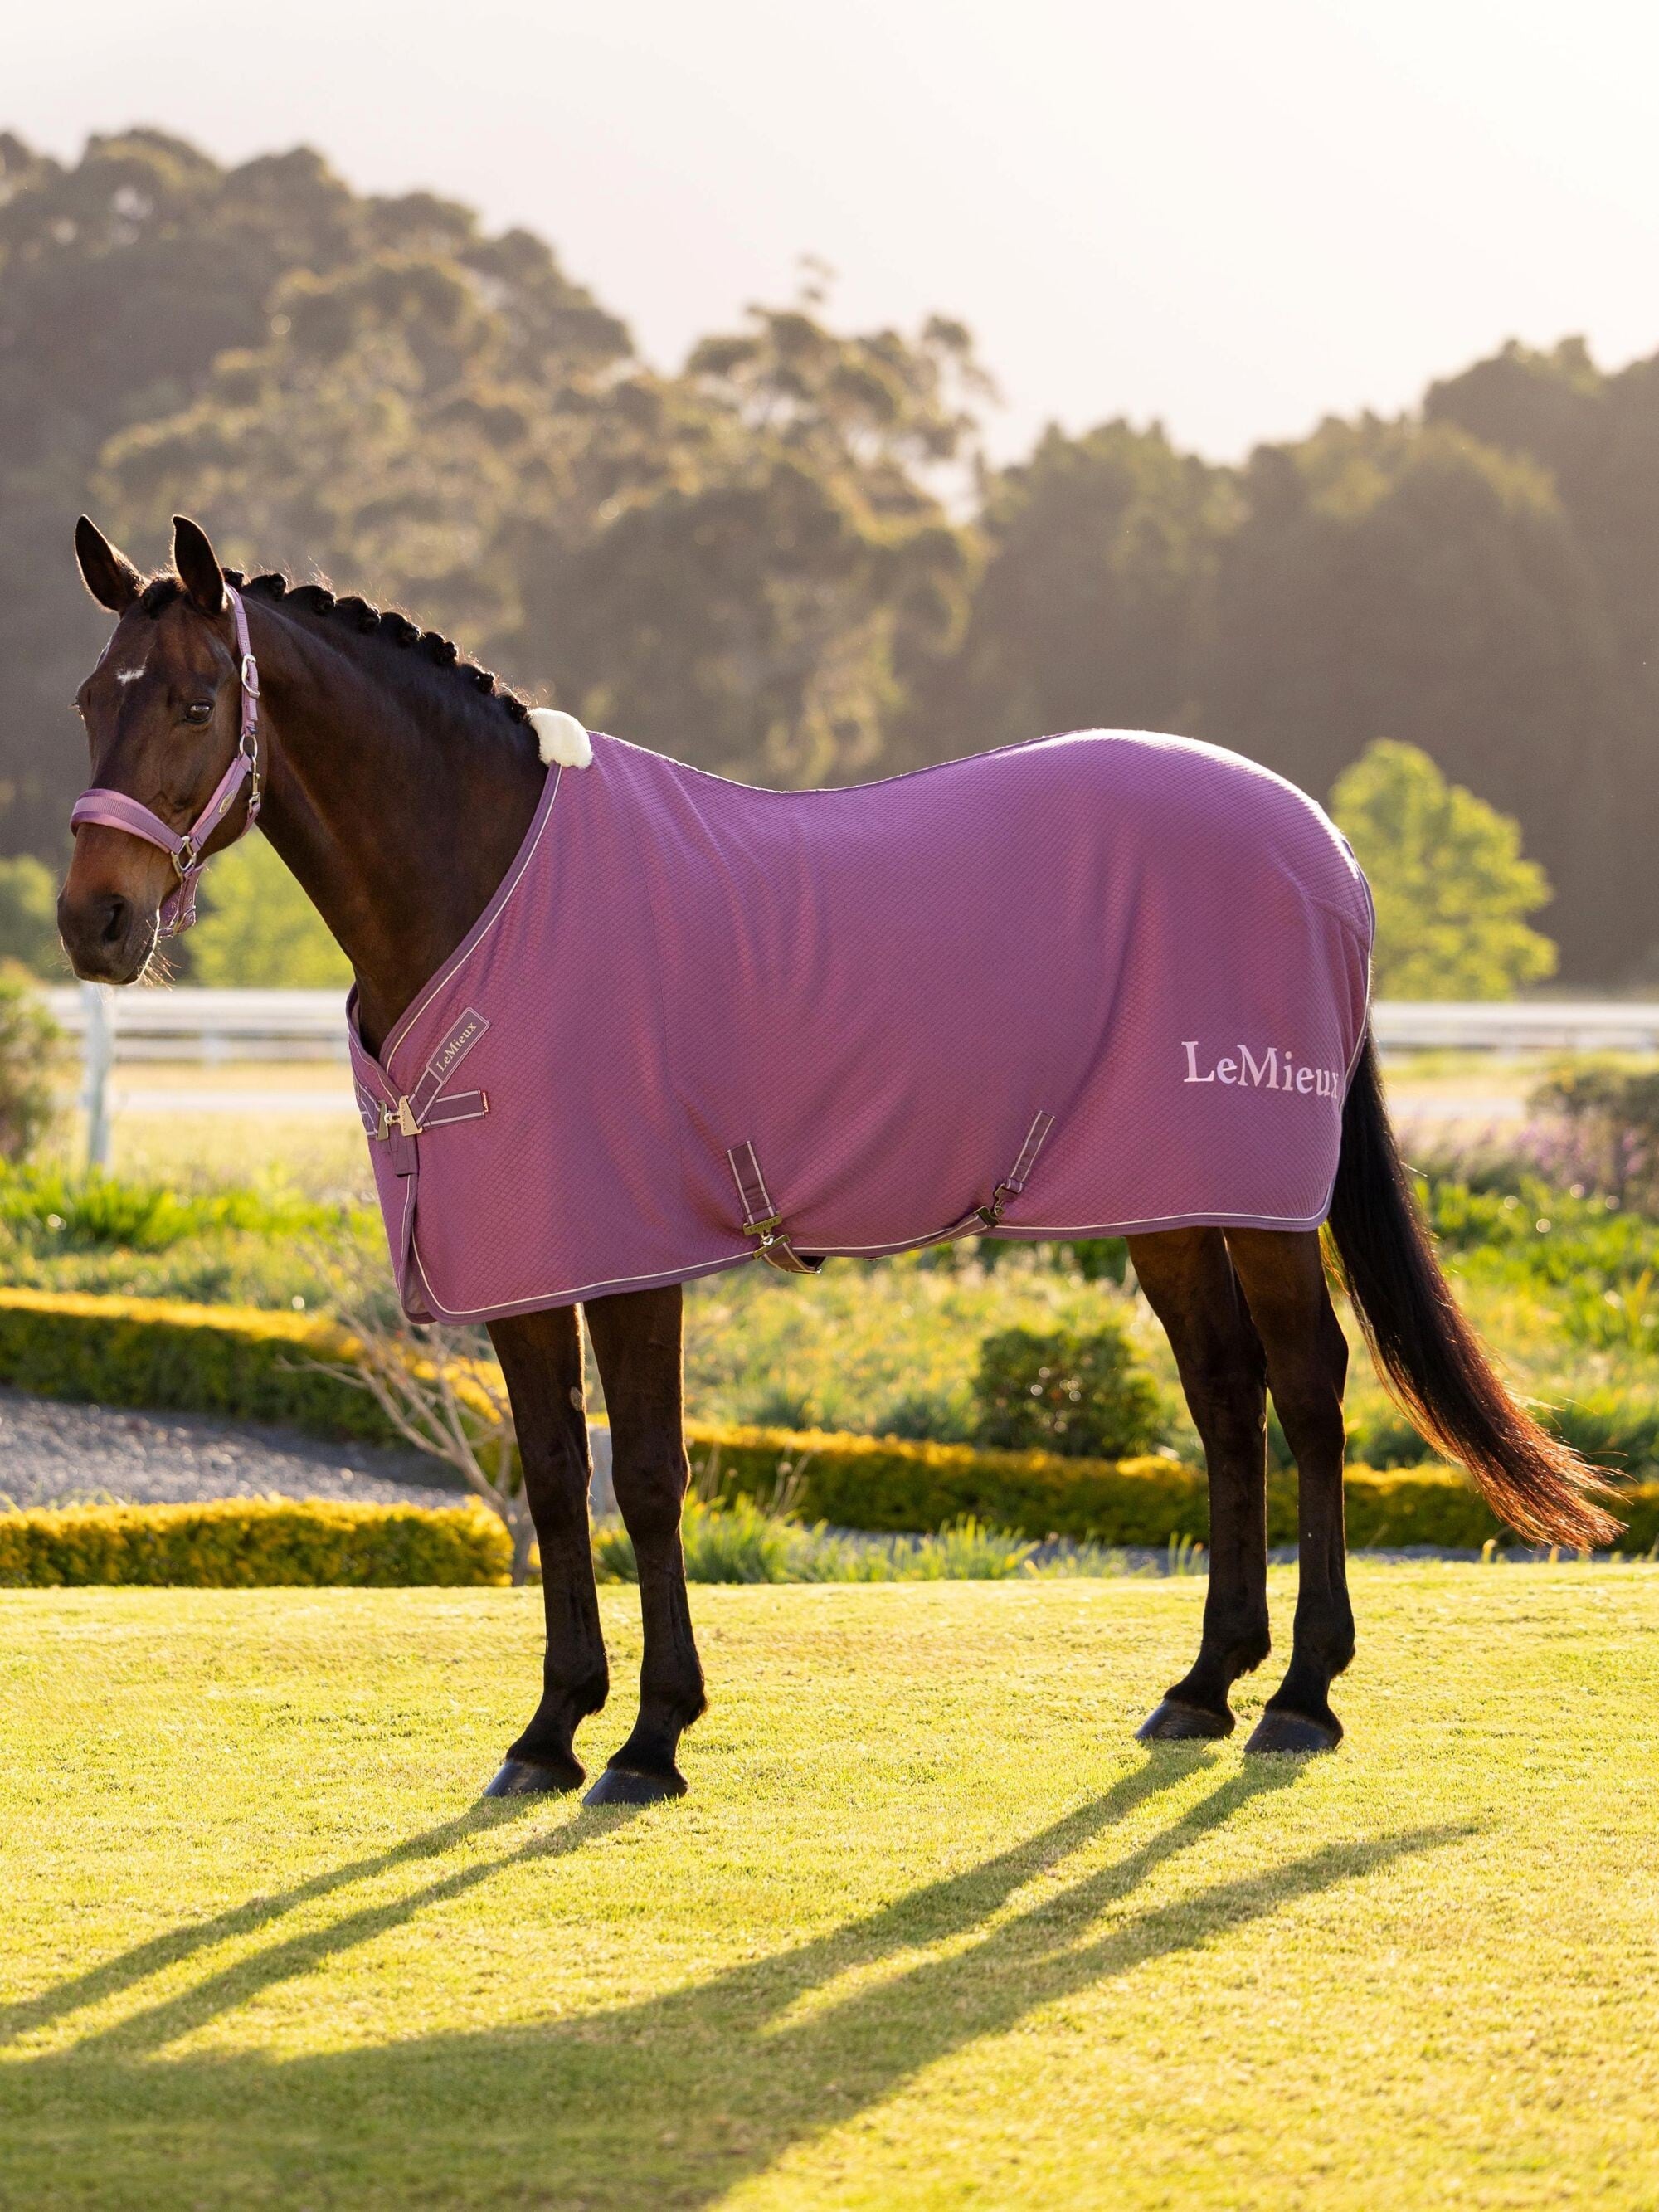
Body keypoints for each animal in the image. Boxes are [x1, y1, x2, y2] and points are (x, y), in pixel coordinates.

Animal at [56, 513, 1617, 1803]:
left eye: (195, 701)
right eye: (87, 700)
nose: (92, 922)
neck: (492, 891)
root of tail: (1325, 848)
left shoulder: (632, 1253)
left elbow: (648, 1478)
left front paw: (650, 1741)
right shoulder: (522, 1260)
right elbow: (553, 1478)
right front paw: (549, 1732)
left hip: (1261, 1202)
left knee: (1308, 1390)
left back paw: (1302, 1694)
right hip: (1171, 1199)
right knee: (1226, 1397)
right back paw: (1204, 1684)